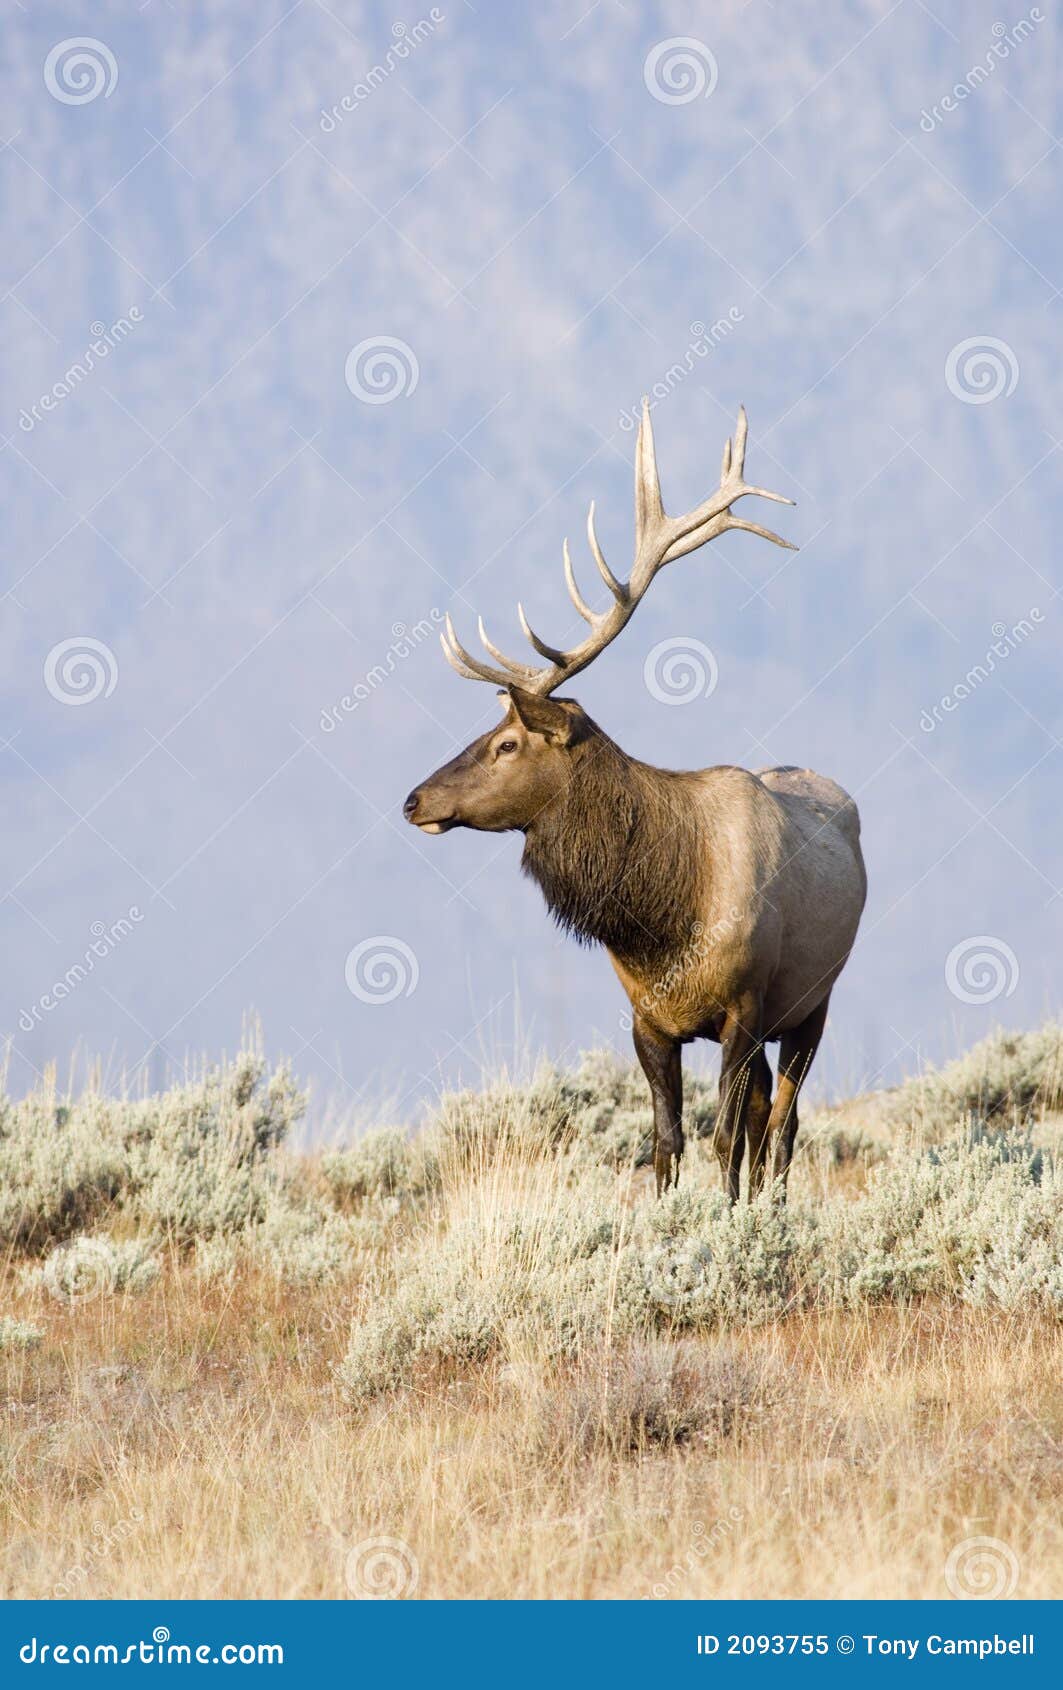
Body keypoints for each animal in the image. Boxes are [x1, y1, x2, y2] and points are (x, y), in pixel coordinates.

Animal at [403, 403, 866, 1200]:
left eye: (506, 744)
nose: (413, 799)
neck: (662, 918)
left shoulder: (746, 1004)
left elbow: (722, 1139)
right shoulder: (646, 1019)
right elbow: (665, 1143)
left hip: (815, 1000)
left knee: (782, 1126)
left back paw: (773, 1207)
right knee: (762, 1117)